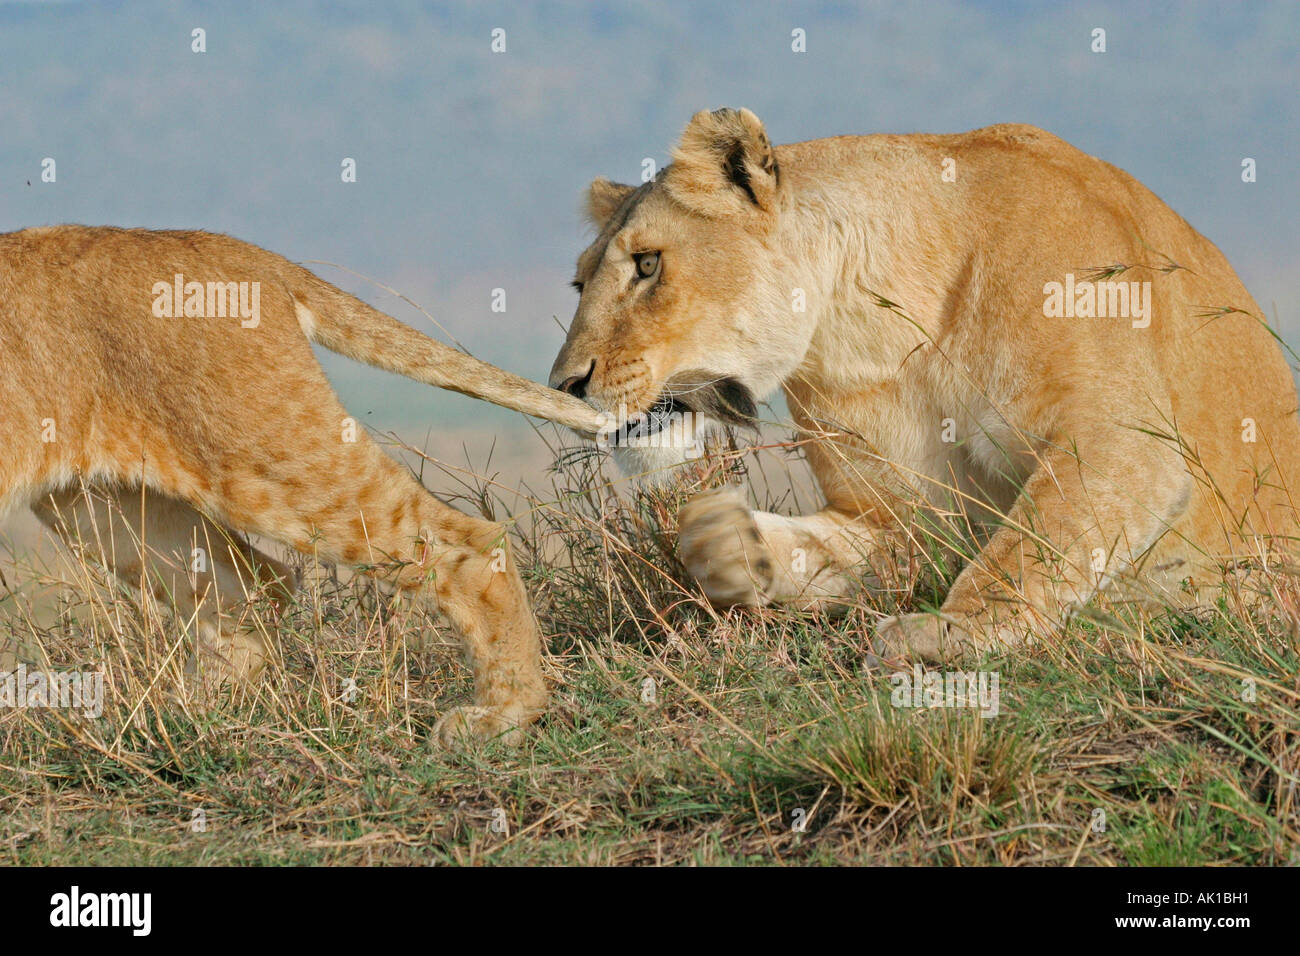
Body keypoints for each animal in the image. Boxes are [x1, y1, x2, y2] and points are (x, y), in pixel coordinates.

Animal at [0, 225, 605, 743]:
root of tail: (247, 254)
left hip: (264, 457)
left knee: (467, 545)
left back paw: (503, 717)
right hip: (99, 502)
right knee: (255, 585)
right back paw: (182, 722)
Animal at [550, 108, 1300, 662]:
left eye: (648, 264)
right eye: (580, 283)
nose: (567, 384)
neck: (863, 320)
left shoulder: (1121, 441)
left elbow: (1030, 546)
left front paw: (947, 633)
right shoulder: (898, 521)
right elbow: (820, 548)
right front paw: (723, 542)